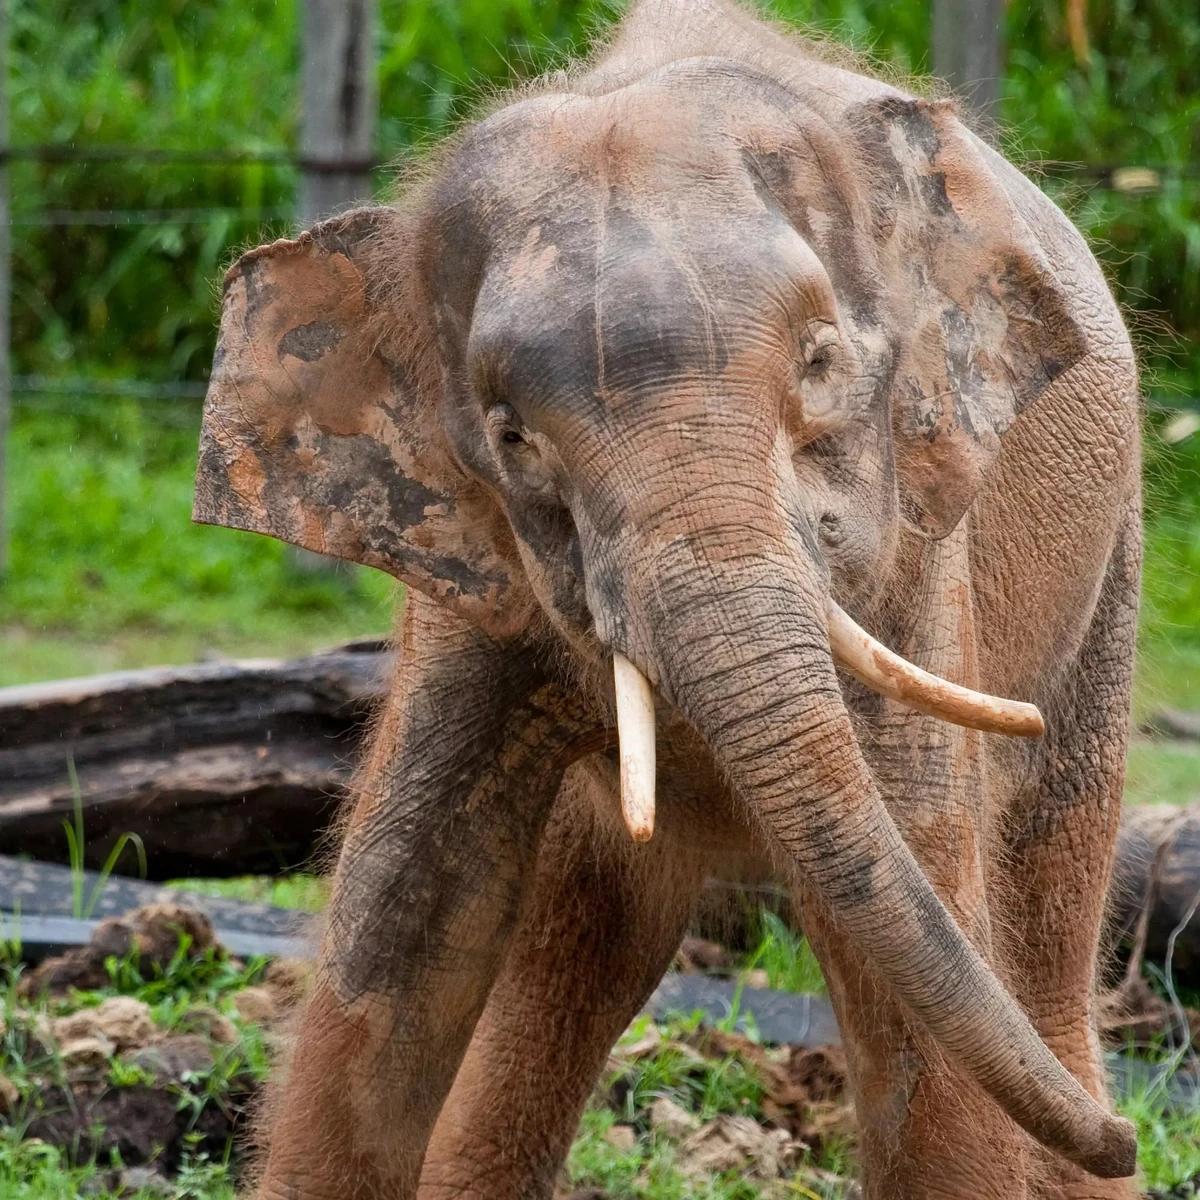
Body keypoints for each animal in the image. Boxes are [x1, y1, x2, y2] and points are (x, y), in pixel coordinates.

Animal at [193, 1, 1142, 1196]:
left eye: (821, 363)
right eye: (512, 437)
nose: (1128, 1138)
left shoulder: (915, 558)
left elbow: (917, 934)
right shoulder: (469, 590)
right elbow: (401, 922)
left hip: (1110, 571)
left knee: (1046, 936)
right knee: (574, 954)